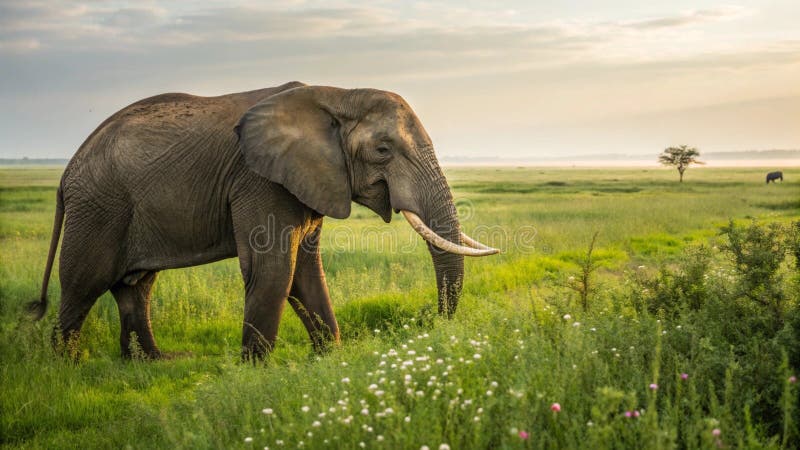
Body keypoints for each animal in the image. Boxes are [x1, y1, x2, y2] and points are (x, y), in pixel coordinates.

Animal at [27, 81, 498, 359]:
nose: (431, 323)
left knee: (135, 288)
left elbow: (304, 272)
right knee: (84, 284)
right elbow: (273, 269)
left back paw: (149, 363)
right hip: (99, 207)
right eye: (383, 150)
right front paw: (255, 371)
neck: (337, 94)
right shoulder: (260, 180)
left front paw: (327, 359)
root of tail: (67, 170)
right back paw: (67, 367)